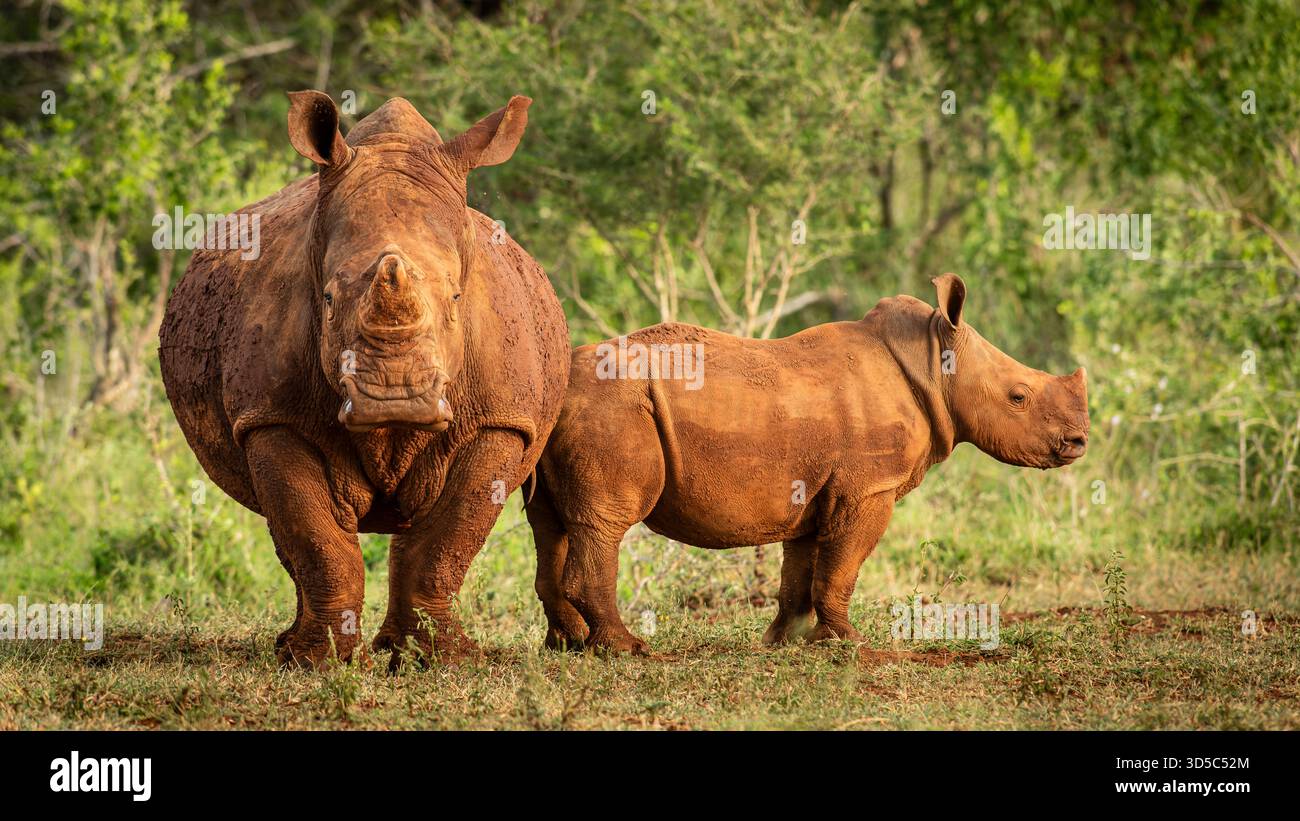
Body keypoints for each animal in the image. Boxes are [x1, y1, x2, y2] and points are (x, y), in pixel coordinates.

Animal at [160, 91, 570, 668]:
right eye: (329, 300)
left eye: (457, 298)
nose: (395, 398)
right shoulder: (271, 417)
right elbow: (316, 539)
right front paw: (315, 661)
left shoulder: (500, 419)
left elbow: (449, 539)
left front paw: (442, 659)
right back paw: (291, 645)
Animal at [526, 274, 1089, 652]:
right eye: (1018, 397)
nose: (1080, 442)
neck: (934, 365)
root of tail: (560, 381)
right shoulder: (868, 489)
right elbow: (841, 568)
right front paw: (850, 643)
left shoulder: (814, 490)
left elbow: (800, 571)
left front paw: (786, 640)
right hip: (611, 409)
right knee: (606, 520)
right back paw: (627, 649)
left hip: (565, 411)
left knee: (551, 524)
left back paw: (567, 645)